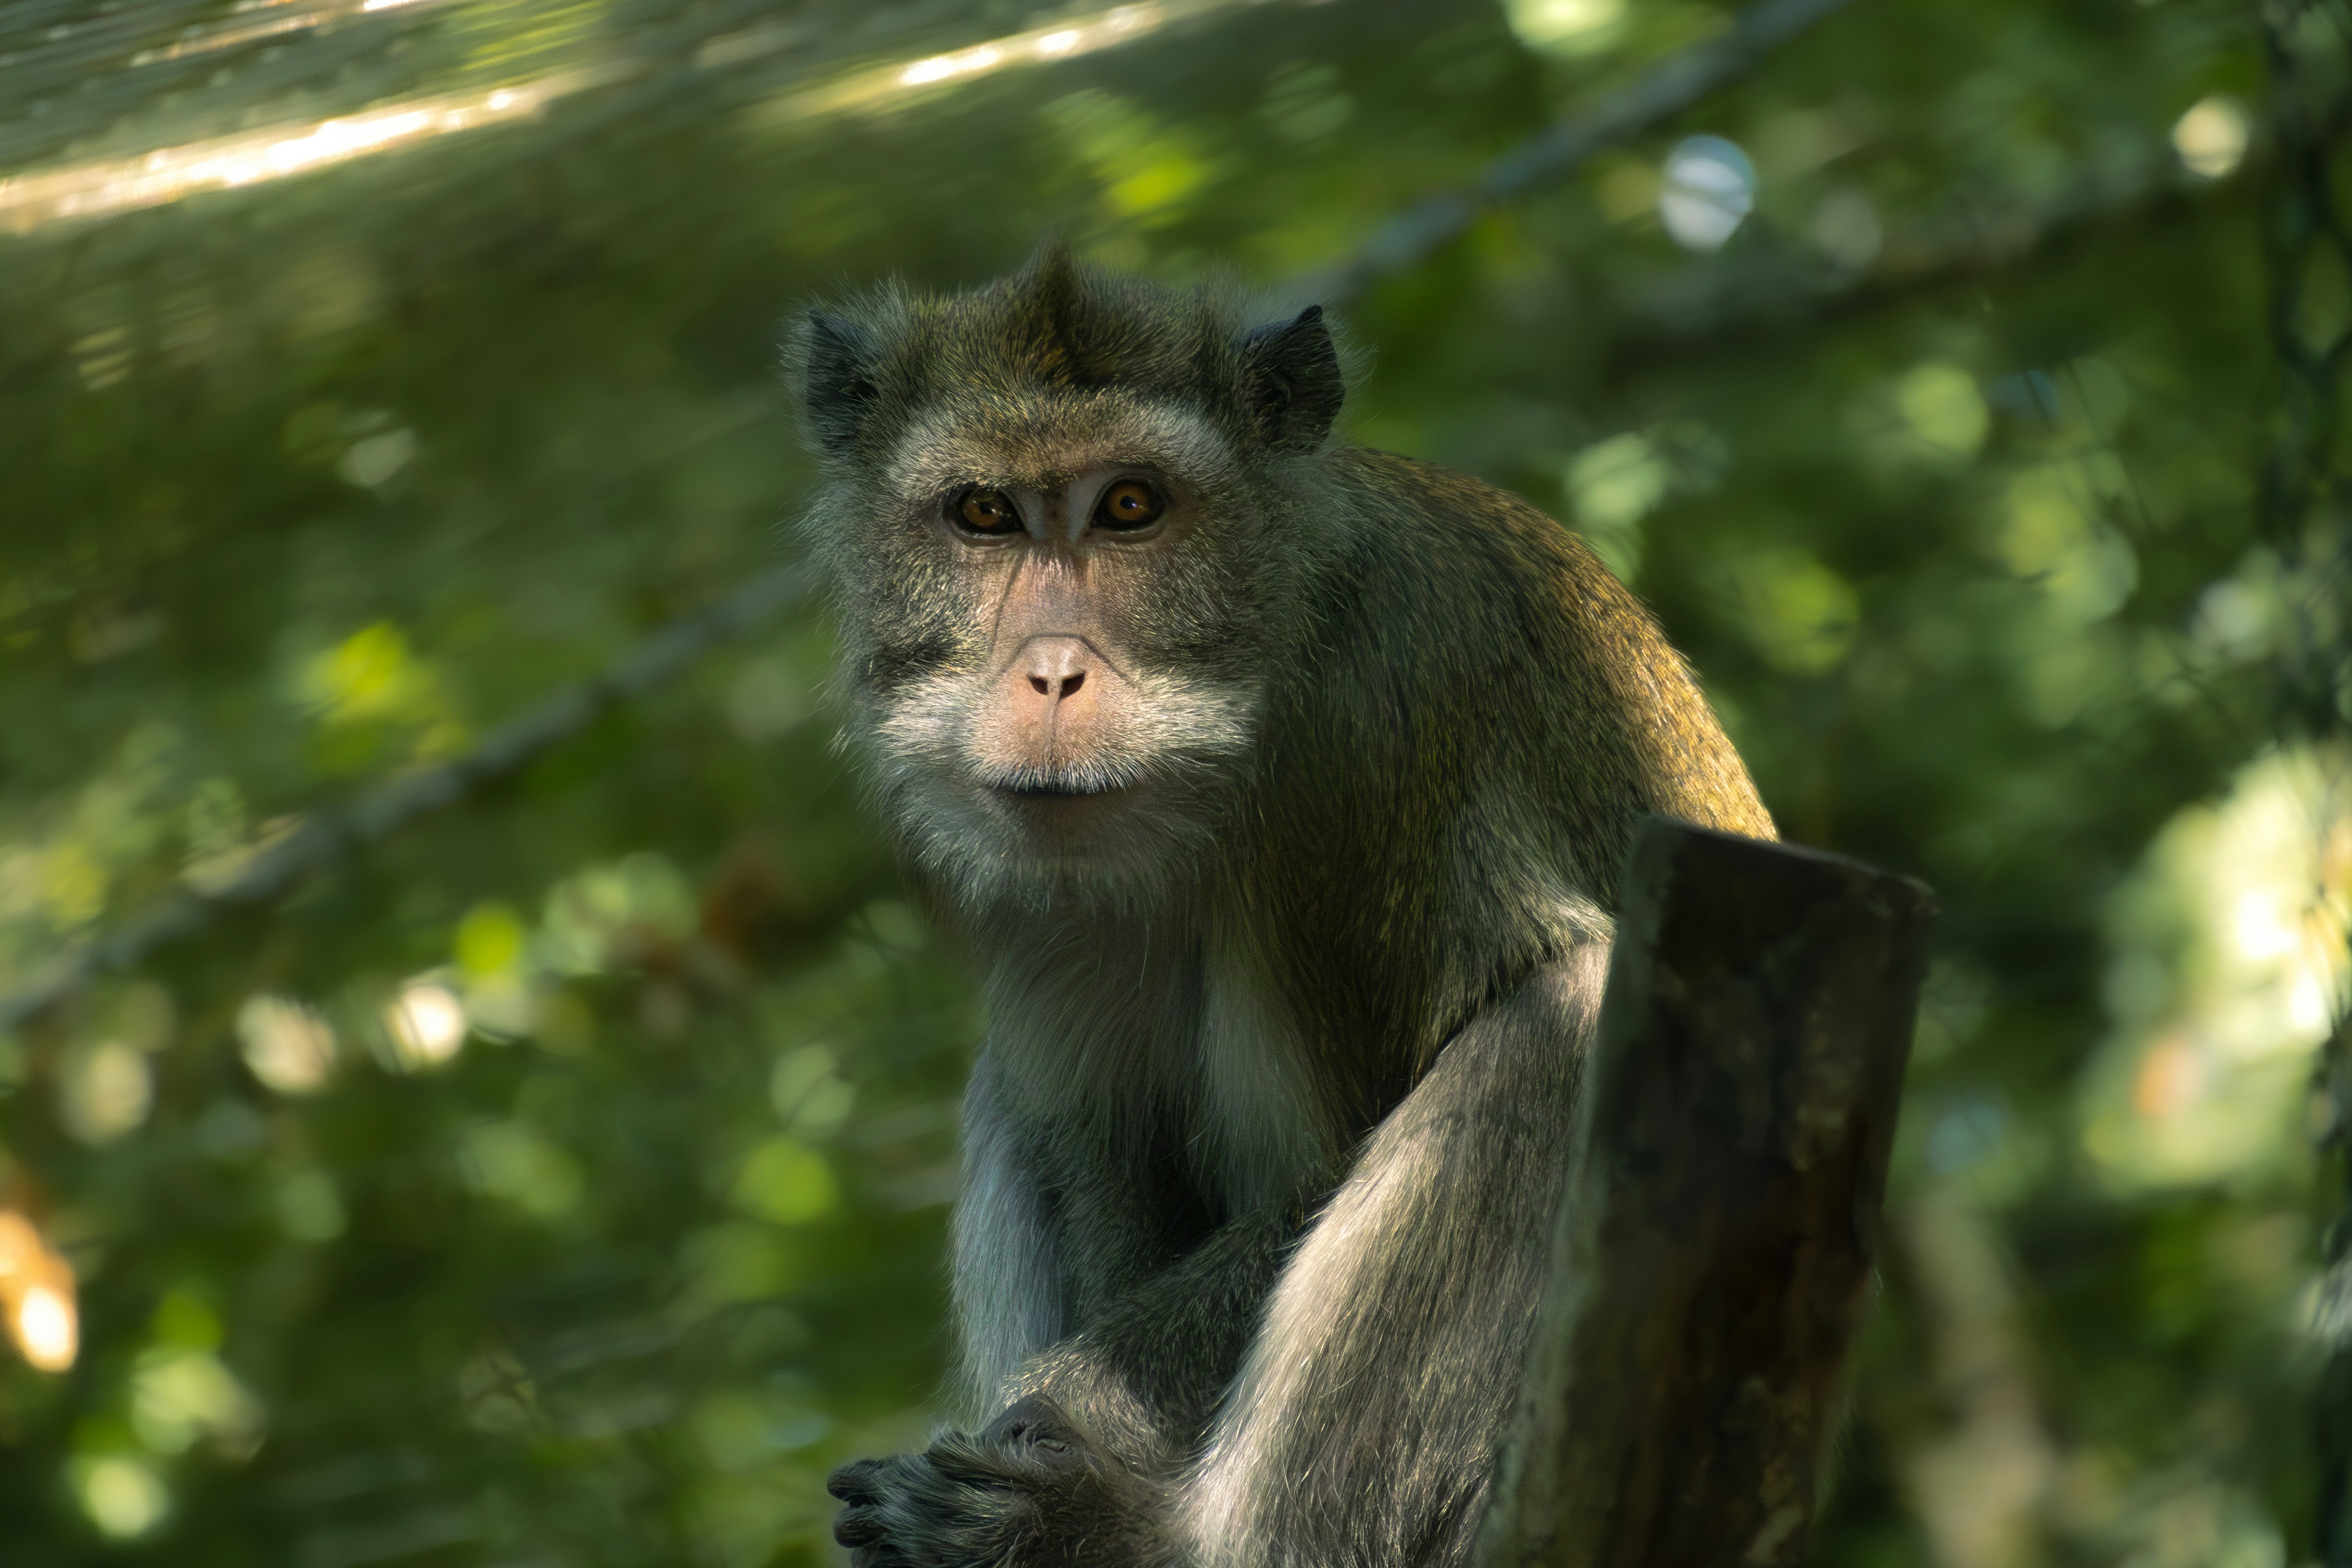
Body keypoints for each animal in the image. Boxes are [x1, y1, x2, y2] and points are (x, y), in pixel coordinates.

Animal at [787, 243, 1774, 1568]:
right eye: (984, 514)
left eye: (1132, 507)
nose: (1051, 671)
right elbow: (1098, 1148)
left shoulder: (1366, 732)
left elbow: (1324, 1160)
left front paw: (1049, 1431)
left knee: (1561, 1024)